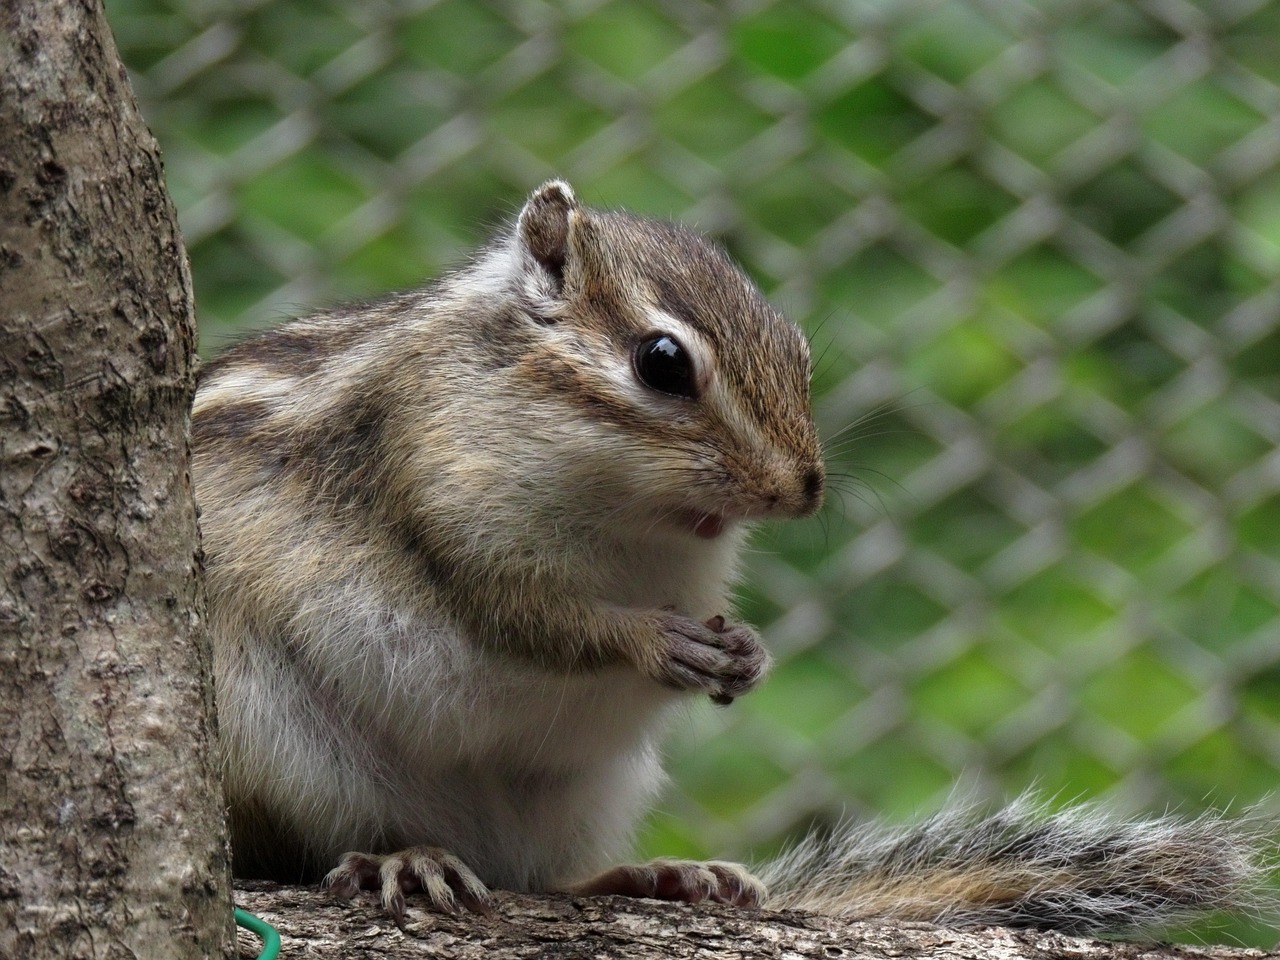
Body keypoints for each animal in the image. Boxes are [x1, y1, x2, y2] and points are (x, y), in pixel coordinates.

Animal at [192, 180, 1270, 935]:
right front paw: (649, 643)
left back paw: (655, 878)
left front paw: (747, 654)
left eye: (794, 345)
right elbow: (527, 618)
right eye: (662, 362)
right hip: (277, 747)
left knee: (540, 878)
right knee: (300, 854)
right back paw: (399, 860)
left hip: (580, 794)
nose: (803, 489)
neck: (628, 516)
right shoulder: (431, 490)